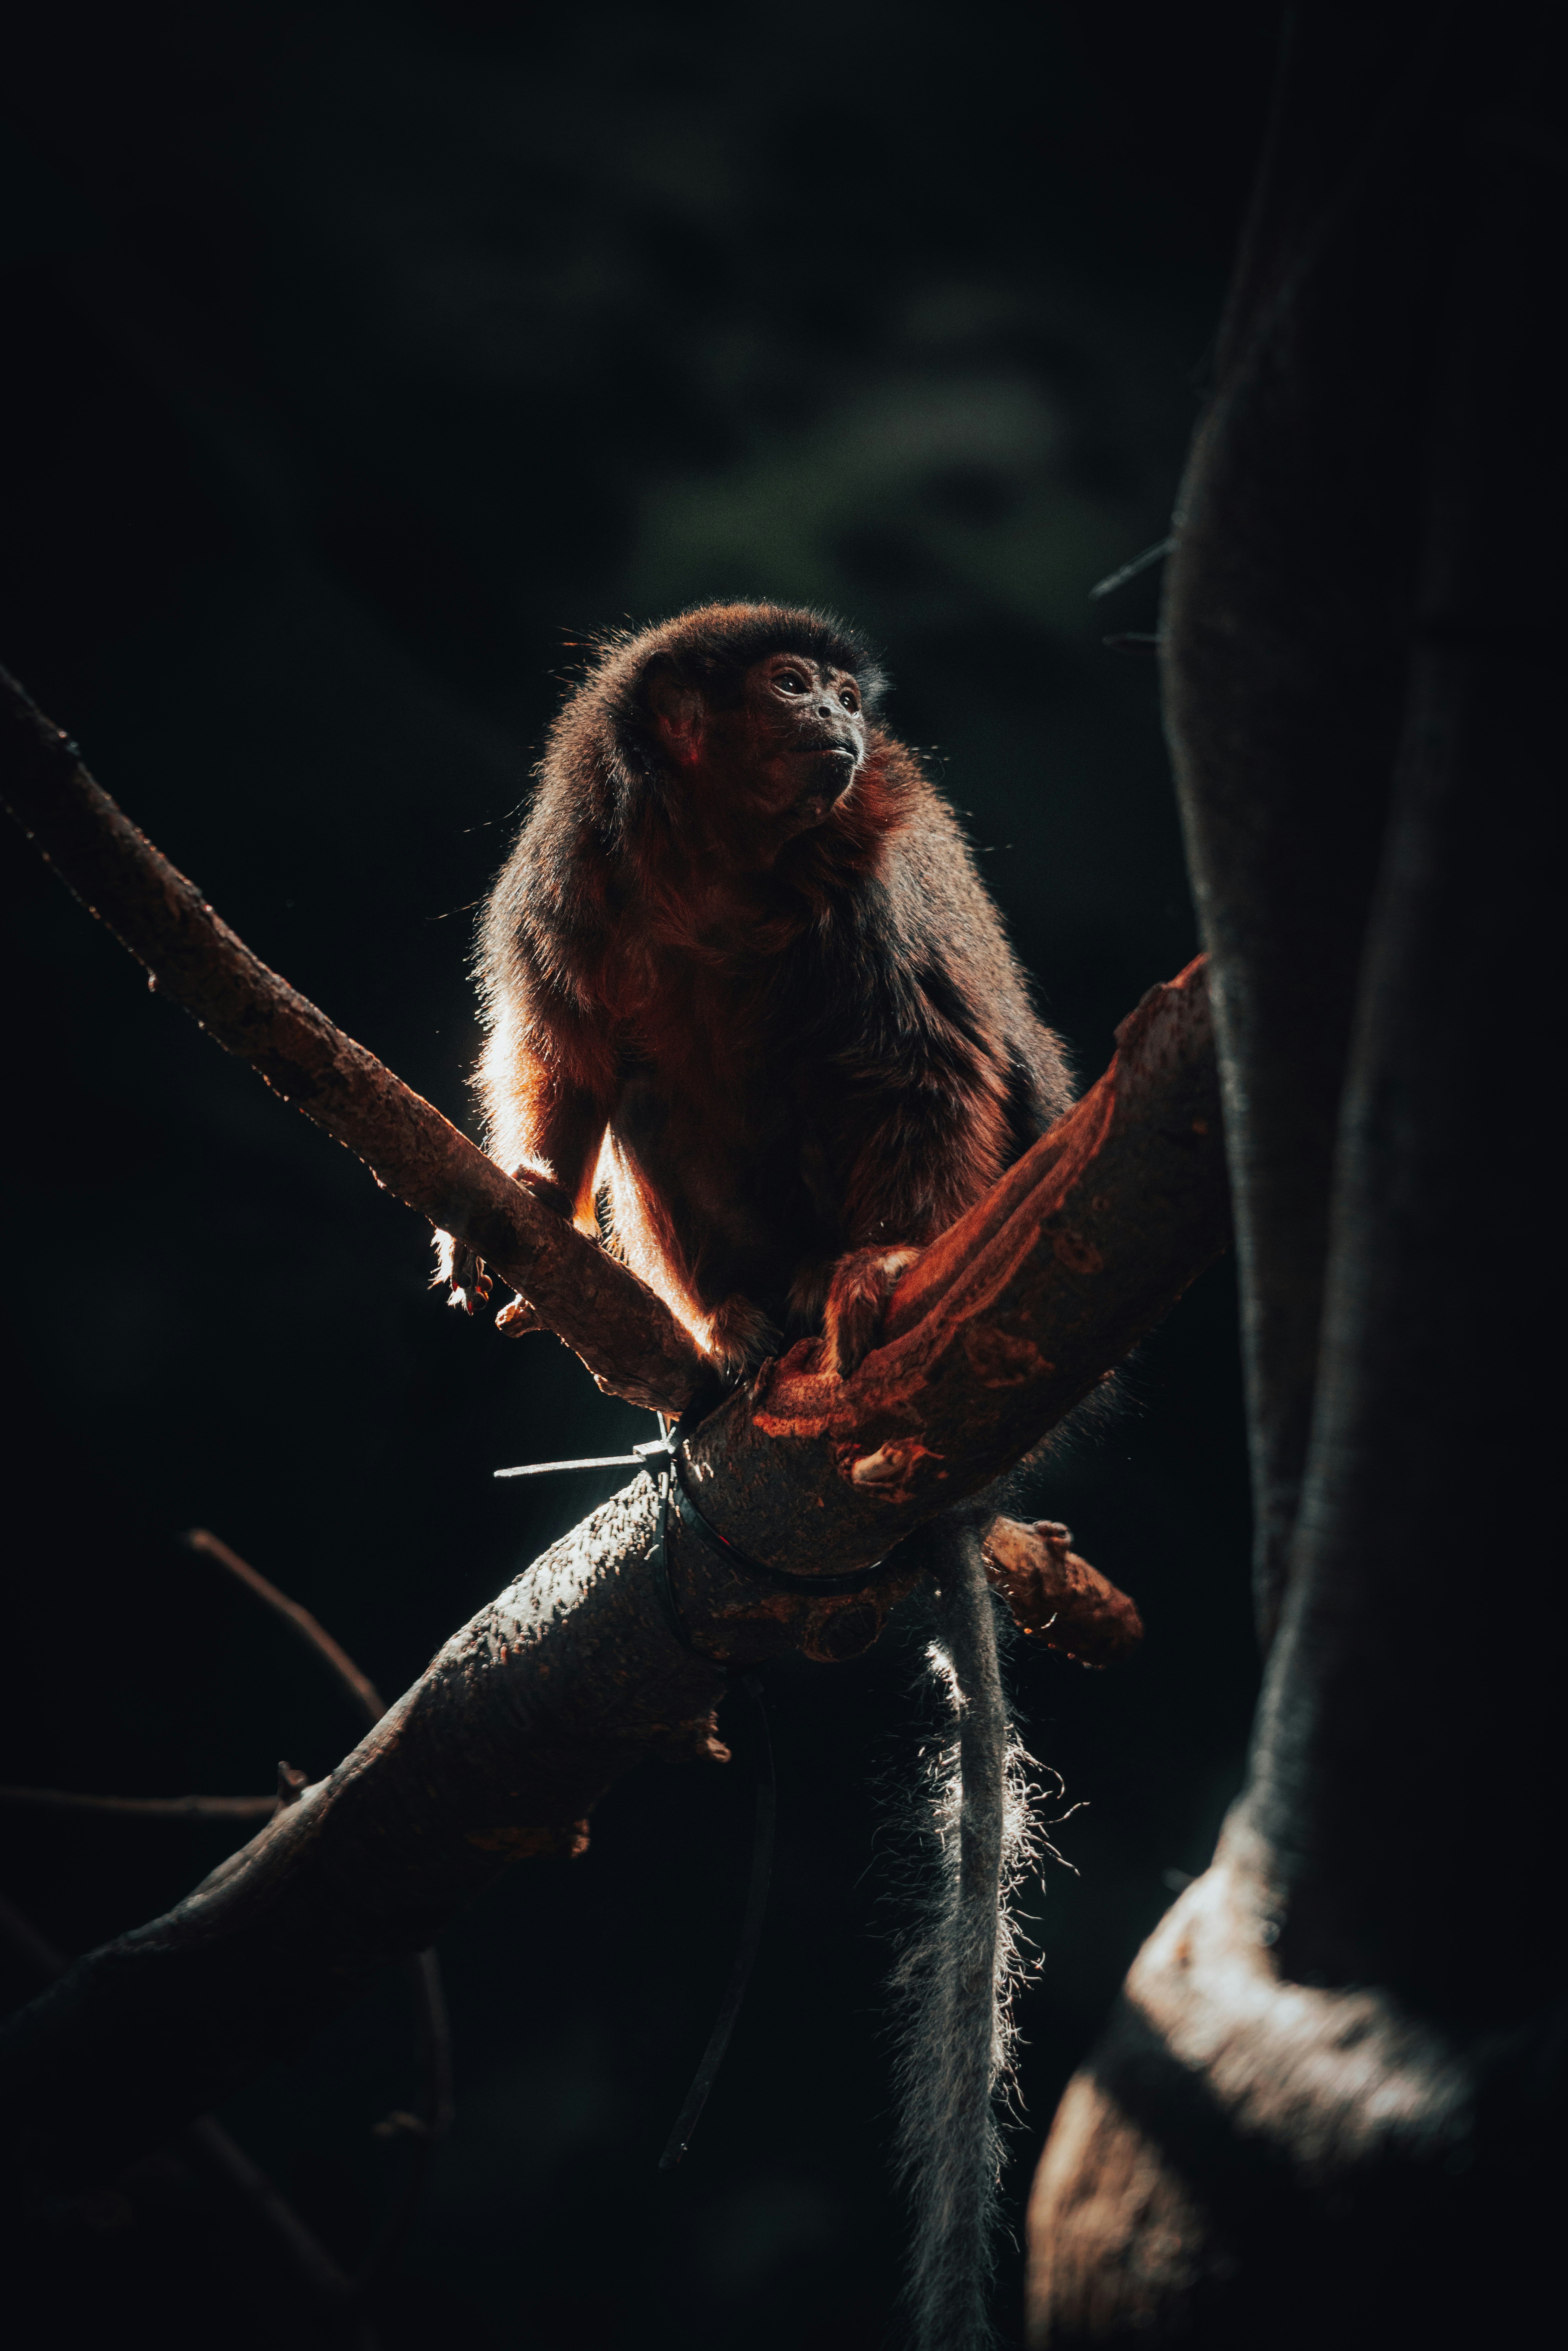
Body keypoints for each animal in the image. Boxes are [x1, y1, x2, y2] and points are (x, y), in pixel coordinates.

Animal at [441, 602, 1074, 2351]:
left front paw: (888, 1267)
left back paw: (827, 1301)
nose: (841, 718)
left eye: (852, 695)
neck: (718, 877)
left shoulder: (885, 861)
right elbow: (571, 1063)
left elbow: (931, 1054)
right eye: (794, 688)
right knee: (655, 1099)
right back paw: (737, 1326)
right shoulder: (565, 891)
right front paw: (529, 1192)